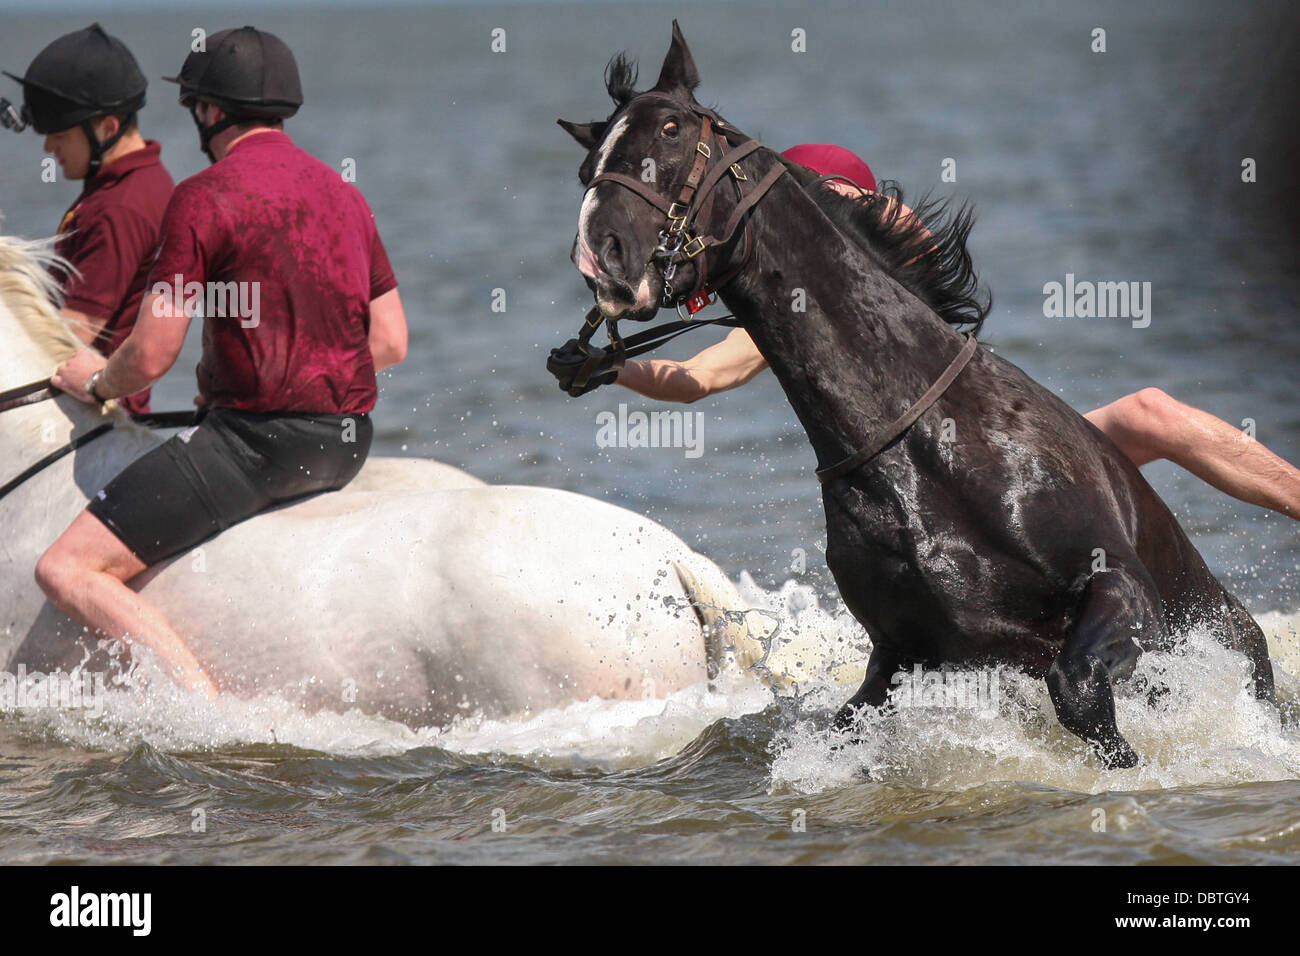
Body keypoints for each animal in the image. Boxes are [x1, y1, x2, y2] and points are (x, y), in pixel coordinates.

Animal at [557, 21, 1276, 768]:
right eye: (587, 170)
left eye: (672, 130)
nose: (599, 254)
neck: (919, 446)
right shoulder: (905, 654)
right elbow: (846, 732)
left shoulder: (1119, 587)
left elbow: (1078, 690)